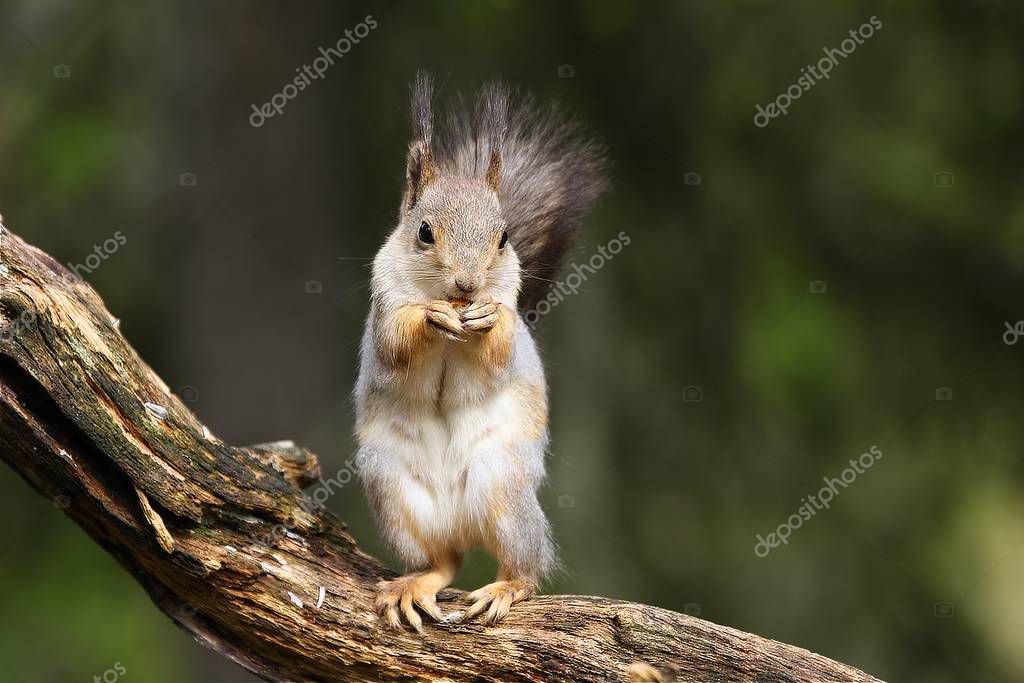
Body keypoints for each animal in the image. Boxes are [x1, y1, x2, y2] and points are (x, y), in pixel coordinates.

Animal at [355, 72, 606, 631]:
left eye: (504, 236)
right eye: (424, 232)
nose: (468, 287)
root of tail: (459, 522)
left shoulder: (509, 321)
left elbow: (501, 351)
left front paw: (487, 319)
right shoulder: (382, 308)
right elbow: (395, 346)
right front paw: (431, 316)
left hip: (503, 485)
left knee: (526, 564)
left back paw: (508, 587)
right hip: (393, 490)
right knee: (444, 561)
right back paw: (416, 583)